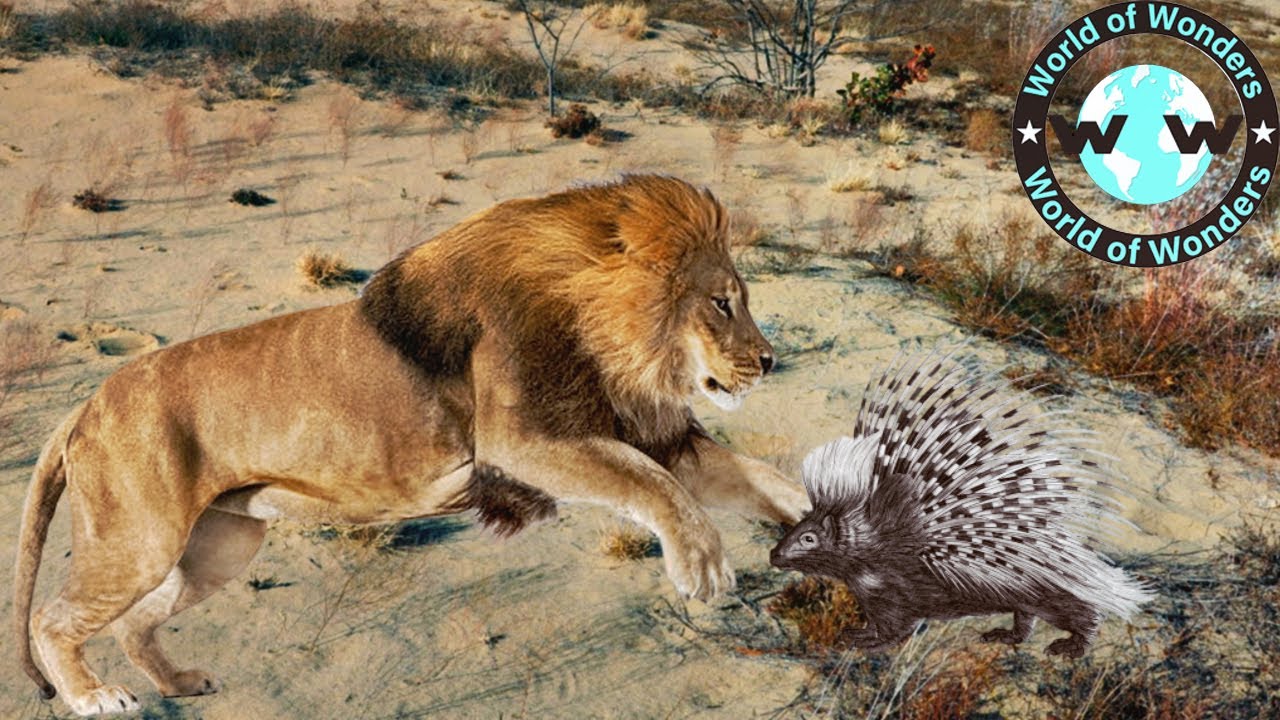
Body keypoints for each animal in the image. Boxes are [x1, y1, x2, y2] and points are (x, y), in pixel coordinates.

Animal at [13, 174, 809, 716]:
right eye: (722, 302)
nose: (769, 362)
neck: (605, 339)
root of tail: (84, 404)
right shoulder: (523, 442)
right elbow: (653, 487)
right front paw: (703, 566)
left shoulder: (646, 432)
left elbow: (750, 478)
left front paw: (812, 523)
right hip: (140, 536)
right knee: (53, 618)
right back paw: (93, 698)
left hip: (221, 545)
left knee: (135, 620)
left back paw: (180, 682)